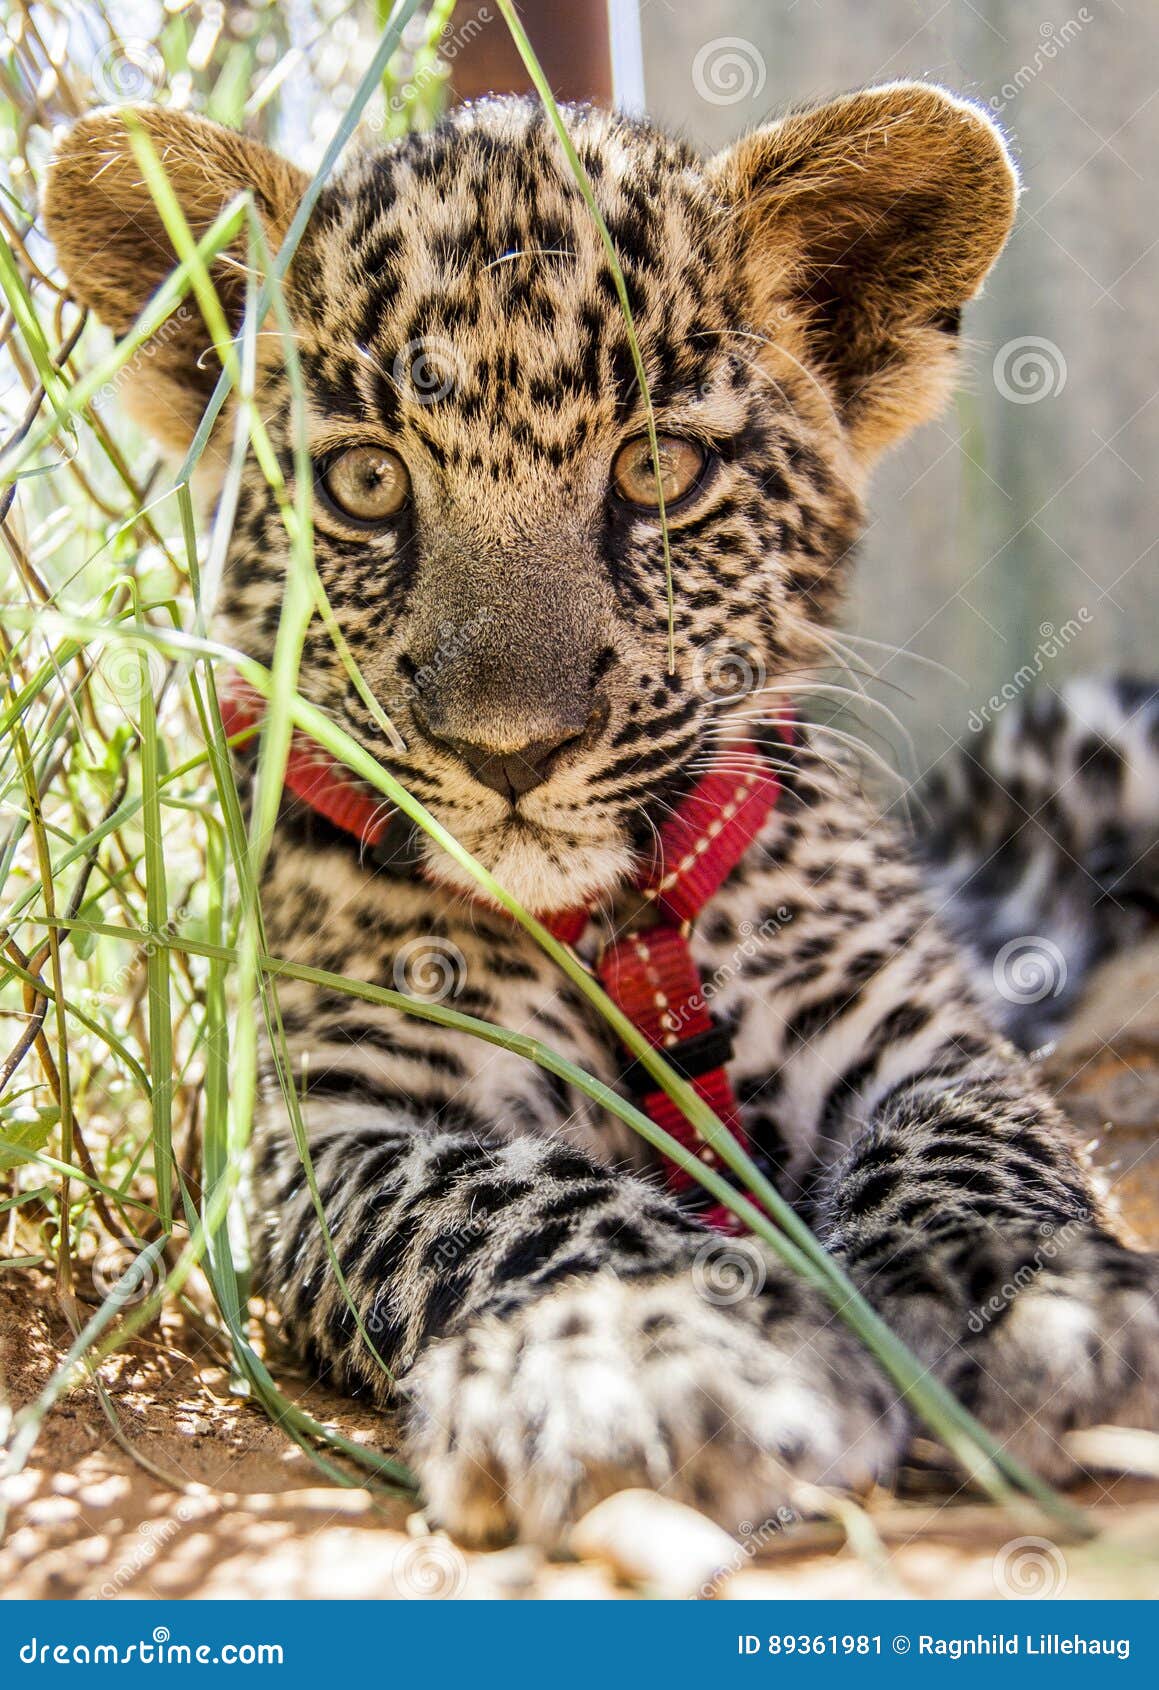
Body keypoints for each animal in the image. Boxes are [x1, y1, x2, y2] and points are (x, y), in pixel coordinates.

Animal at [44, 83, 1159, 1548]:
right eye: (363, 483)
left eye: (657, 468)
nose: (507, 749)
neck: (608, 920)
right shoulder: (330, 1133)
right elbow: (505, 1200)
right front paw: (653, 1350)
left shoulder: (924, 1038)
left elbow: (973, 1153)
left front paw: (1036, 1303)